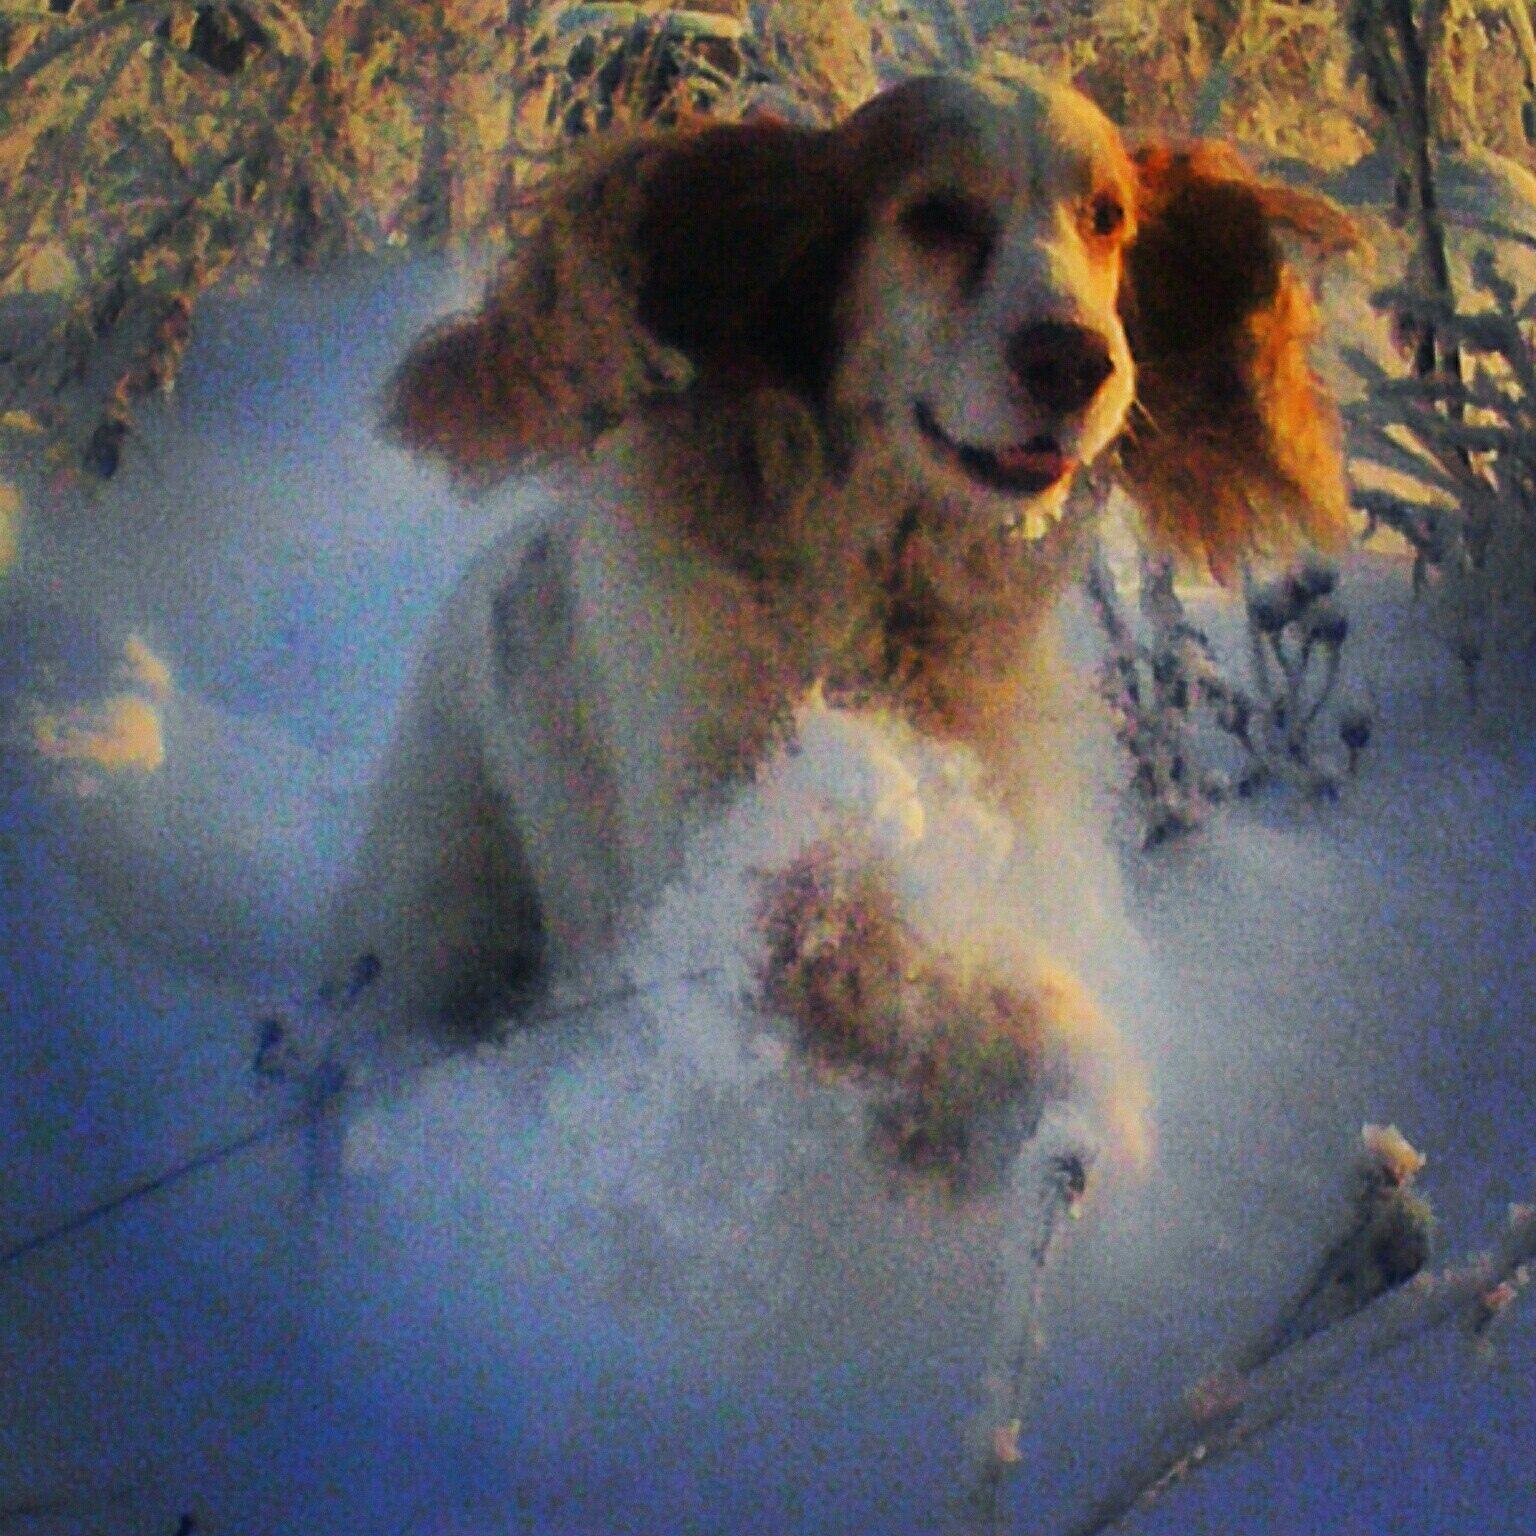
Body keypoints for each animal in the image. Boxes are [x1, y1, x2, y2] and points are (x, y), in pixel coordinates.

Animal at [314, 66, 1357, 1167]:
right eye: (935, 215)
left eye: (1108, 217)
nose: (1075, 363)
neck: (883, 592)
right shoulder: (711, 822)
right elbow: (855, 953)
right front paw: (1020, 1074)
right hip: (438, 898)